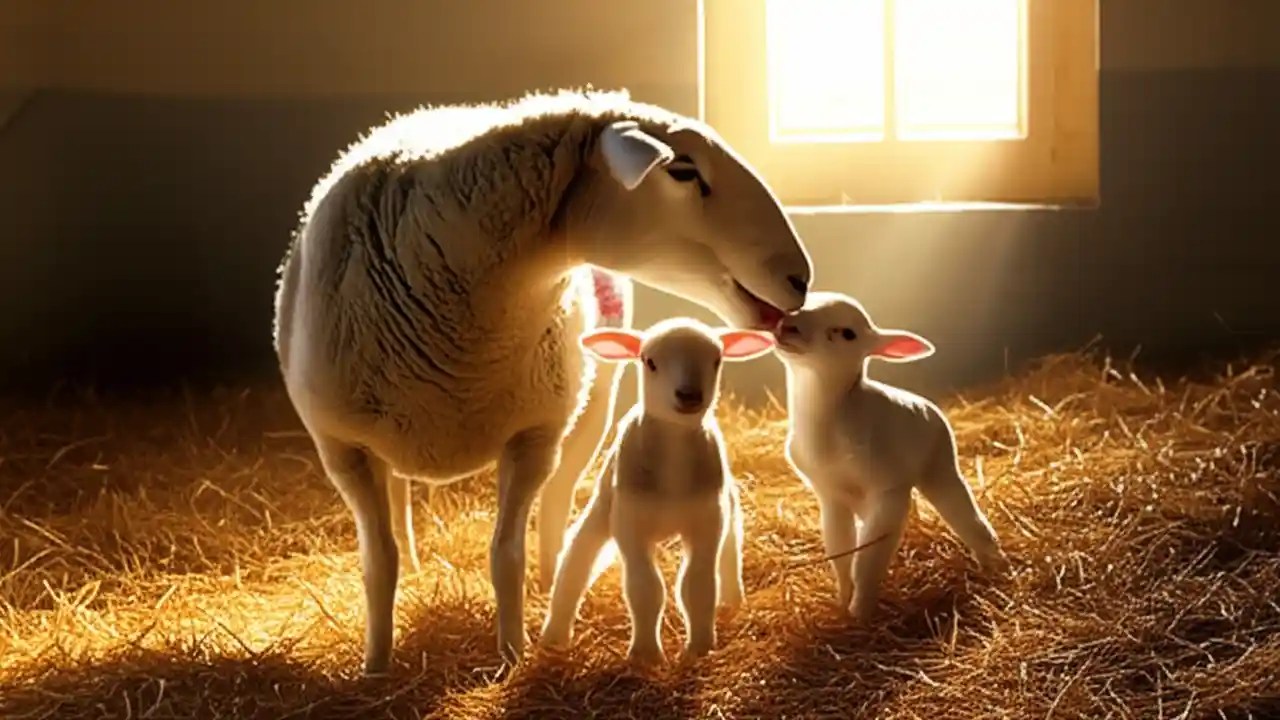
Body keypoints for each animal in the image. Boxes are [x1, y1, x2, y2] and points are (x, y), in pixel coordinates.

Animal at [538, 318, 775, 664]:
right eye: (649, 362)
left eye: (716, 360)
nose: (689, 395)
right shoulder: (630, 523)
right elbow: (646, 589)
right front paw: (646, 654)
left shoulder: (707, 522)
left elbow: (698, 586)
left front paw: (699, 648)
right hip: (603, 511)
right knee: (575, 567)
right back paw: (554, 637)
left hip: (728, 512)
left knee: (730, 555)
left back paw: (732, 602)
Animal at [772, 291, 1009, 624]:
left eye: (848, 333)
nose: (788, 325)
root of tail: (926, 404)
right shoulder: (830, 495)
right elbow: (841, 551)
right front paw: (843, 601)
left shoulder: (889, 489)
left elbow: (867, 561)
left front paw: (860, 611)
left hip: (940, 465)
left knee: (966, 515)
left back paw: (995, 565)